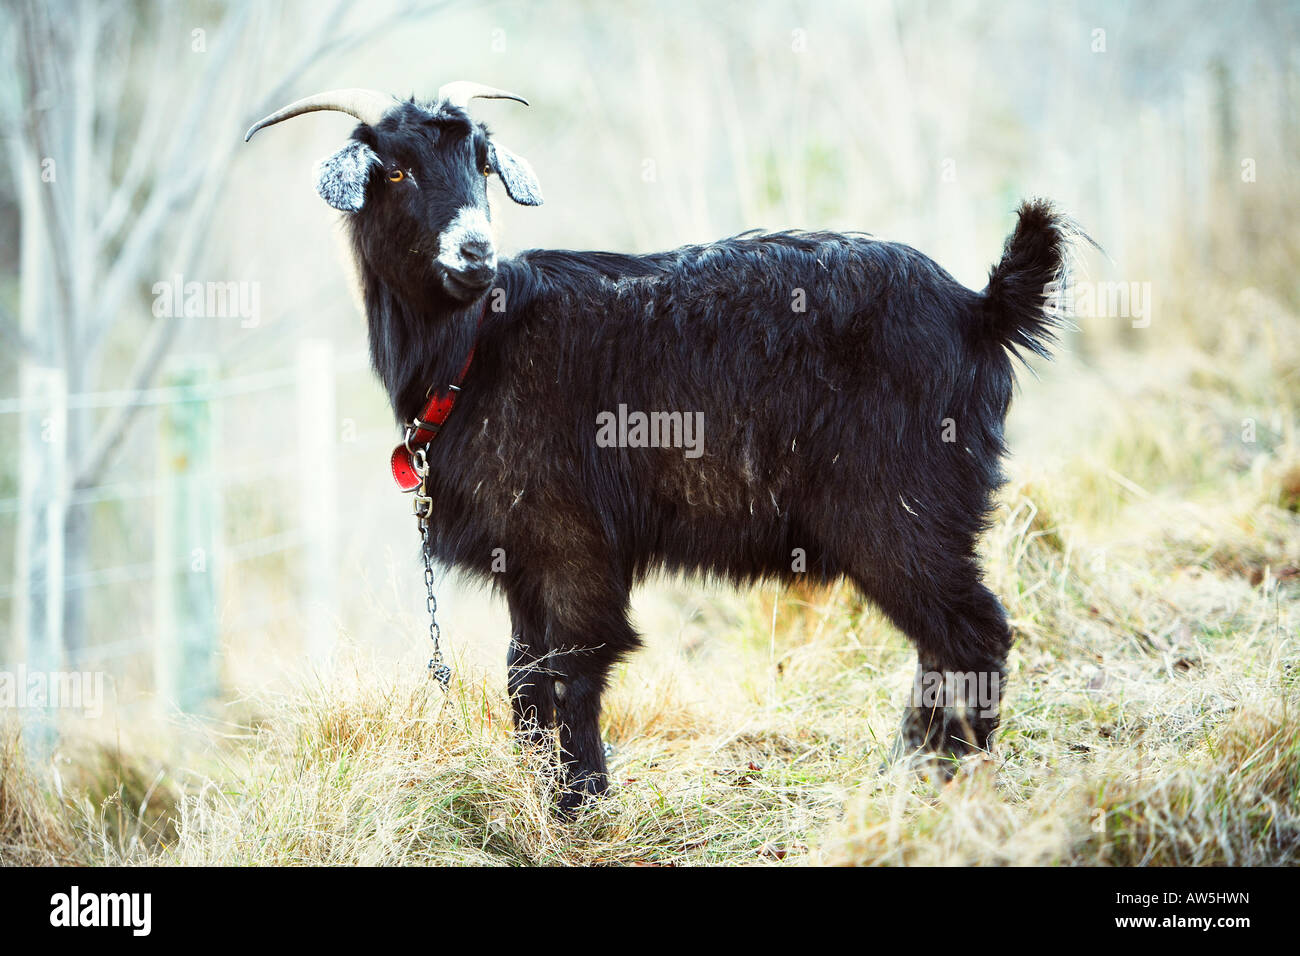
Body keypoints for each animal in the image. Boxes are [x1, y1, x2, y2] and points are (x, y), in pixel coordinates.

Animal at [245, 82, 1079, 811]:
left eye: (481, 161)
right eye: (394, 168)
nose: (475, 251)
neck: (476, 349)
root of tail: (980, 308)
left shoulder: (572, 543)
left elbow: (570, 671)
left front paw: (578, 808)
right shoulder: (523, 553)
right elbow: (523, 674)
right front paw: (545, 796)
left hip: (899, 509)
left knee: (970, 631)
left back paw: (931, 780)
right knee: (951, 640)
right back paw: (915, 774)